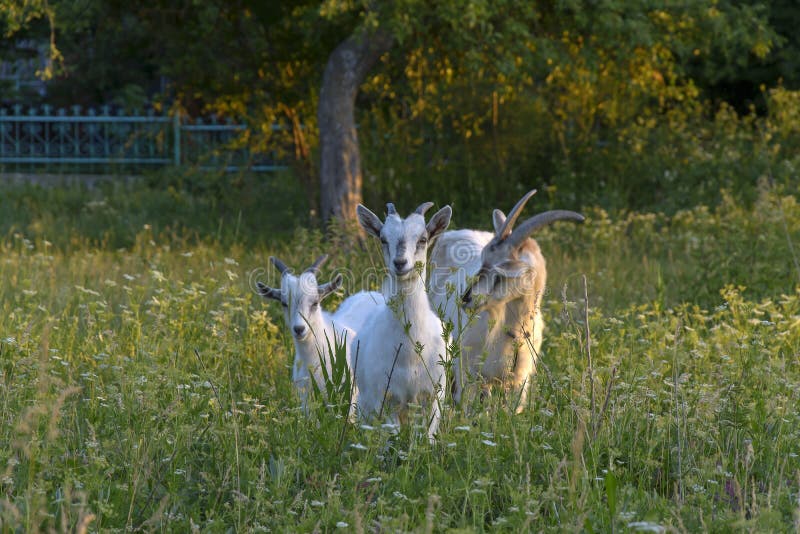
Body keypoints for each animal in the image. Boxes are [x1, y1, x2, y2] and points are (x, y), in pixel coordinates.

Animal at [353, 201, 452, 440]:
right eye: (383, 238)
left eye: (423, 239)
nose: (400, 263)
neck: (409, 354)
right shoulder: (386, 398)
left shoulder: (432, 396)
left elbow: (425, 437)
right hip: (365, 403)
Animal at [429, 190, 583, 412]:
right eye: (483, 260)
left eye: (501, 272)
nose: (466, 298)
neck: (512, 333)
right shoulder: (469, 376)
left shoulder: (519, 383)